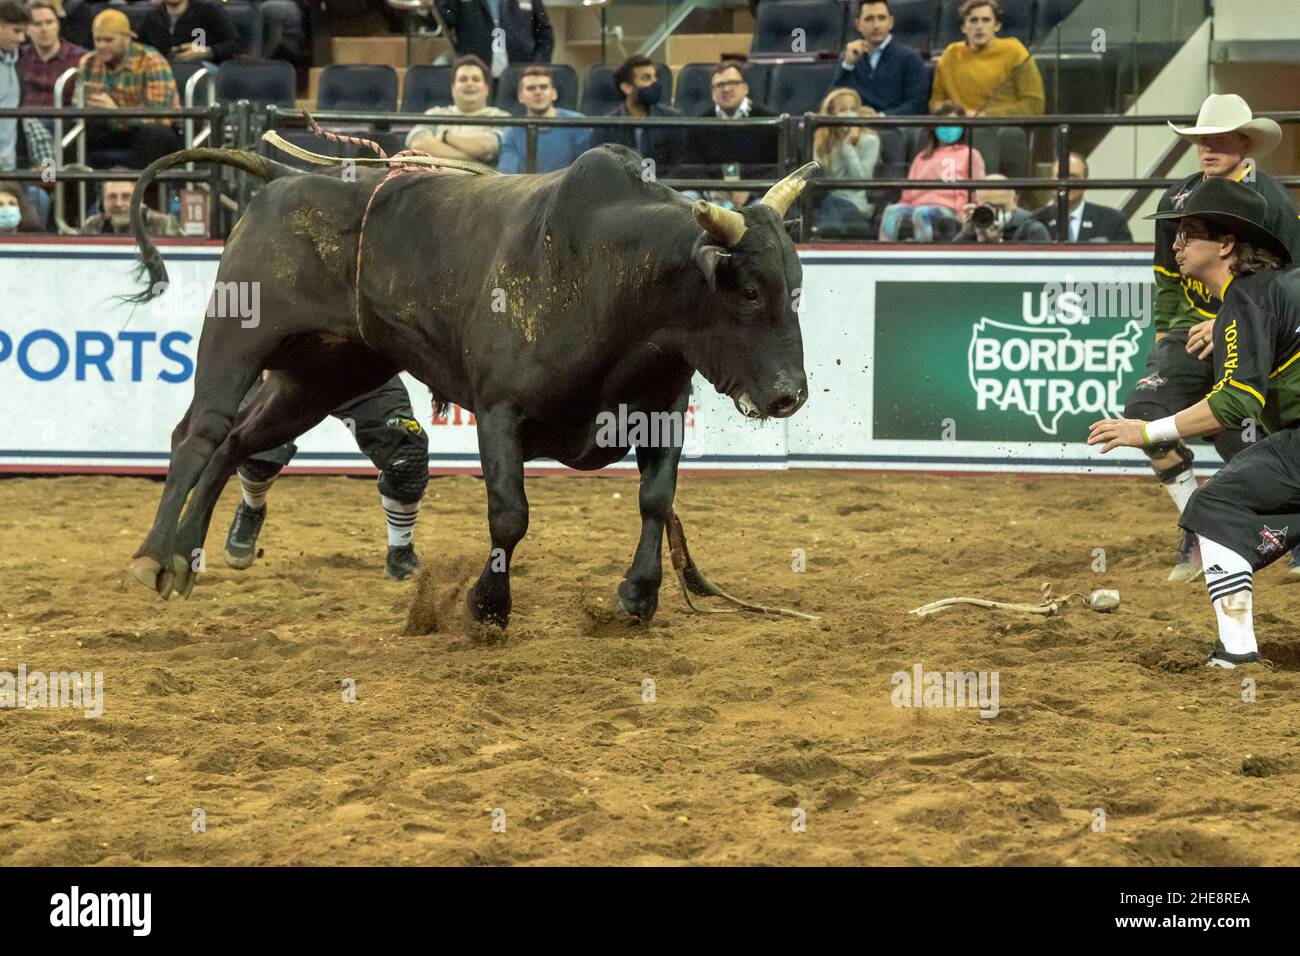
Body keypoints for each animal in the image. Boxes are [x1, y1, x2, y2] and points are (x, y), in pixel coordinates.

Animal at [126, 143, 816, 628]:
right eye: (748, 291)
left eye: (796, 288)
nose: (790, 394)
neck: (610, 277)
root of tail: (280, 178)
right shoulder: (500, 411)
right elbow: (509, 514)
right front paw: (487, 606)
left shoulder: (662, 409)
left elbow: (655, 500)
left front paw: (637, 596)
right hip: (238, 332)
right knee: (200, 433)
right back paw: (155, 553)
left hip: (325, 373)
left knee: (238, 441)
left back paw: (185, 557)